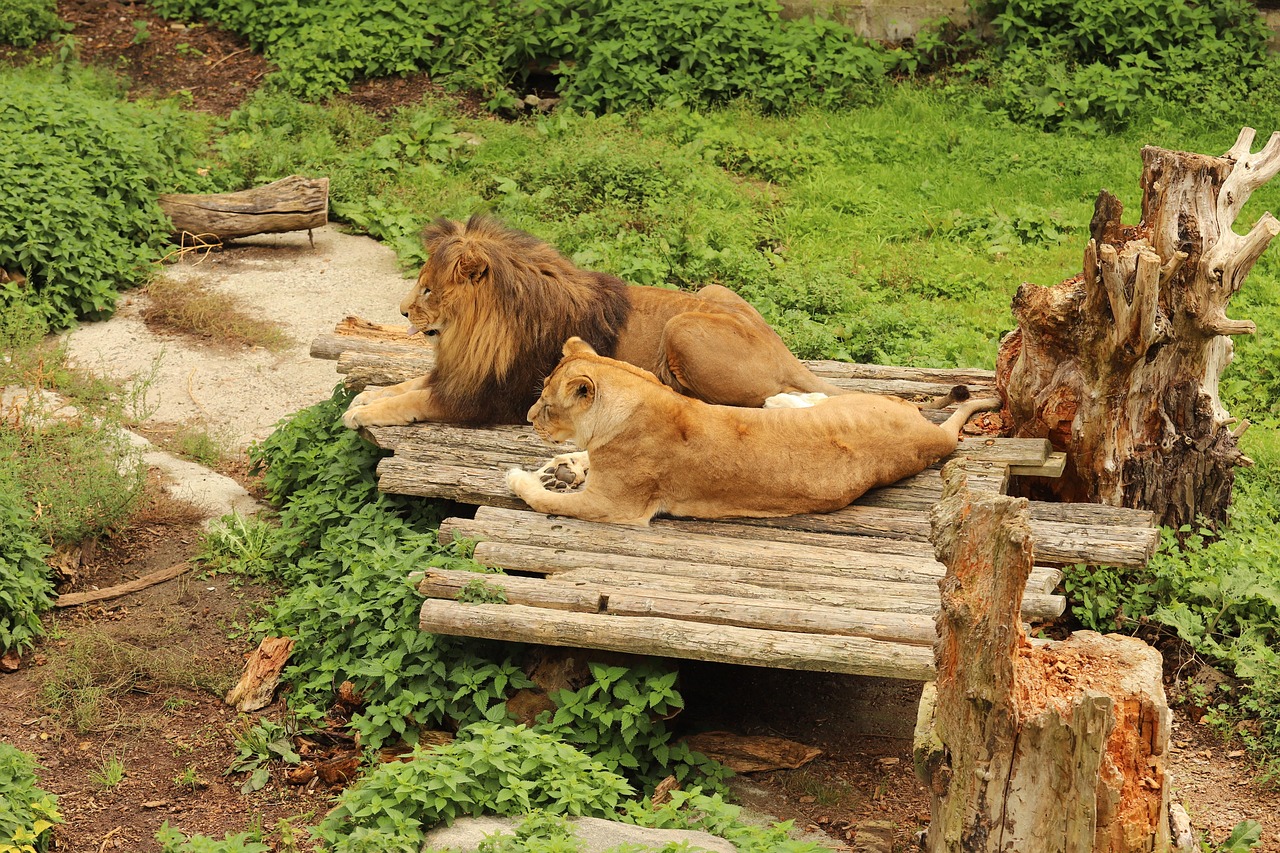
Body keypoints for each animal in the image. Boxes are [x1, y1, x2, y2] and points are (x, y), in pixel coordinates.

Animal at [342, 215, 852, 429]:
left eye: (427, 290)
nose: (402, 311)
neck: (472, 333)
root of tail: (782, 352)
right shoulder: (461, 373)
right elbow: (407, 385)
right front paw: (368, 395)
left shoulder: (488, 398)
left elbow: (415, 400)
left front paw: (362, 412)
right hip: (711, 290)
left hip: (682, 328)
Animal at [504, 338, 1001, 526]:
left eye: (546, 404)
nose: (527, 418)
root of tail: (923, 429)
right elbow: (579, 462)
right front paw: (562, 468)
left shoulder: (614, 507)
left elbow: (545, 501)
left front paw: (523, 478)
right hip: (852, 405)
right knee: (813, 398)